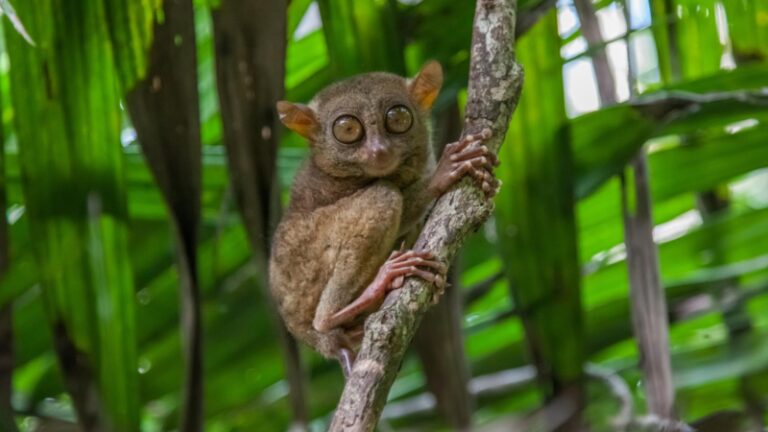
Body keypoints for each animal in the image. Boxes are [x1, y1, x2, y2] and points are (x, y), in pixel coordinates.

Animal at [270, 61, 498, 375]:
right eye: (348, 129)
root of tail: (309, 337)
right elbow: (403, 199)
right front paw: (444, 172)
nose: (379, 151)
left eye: (398, 119)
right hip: (306, 272)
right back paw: (378, 283)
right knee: (384, 196)